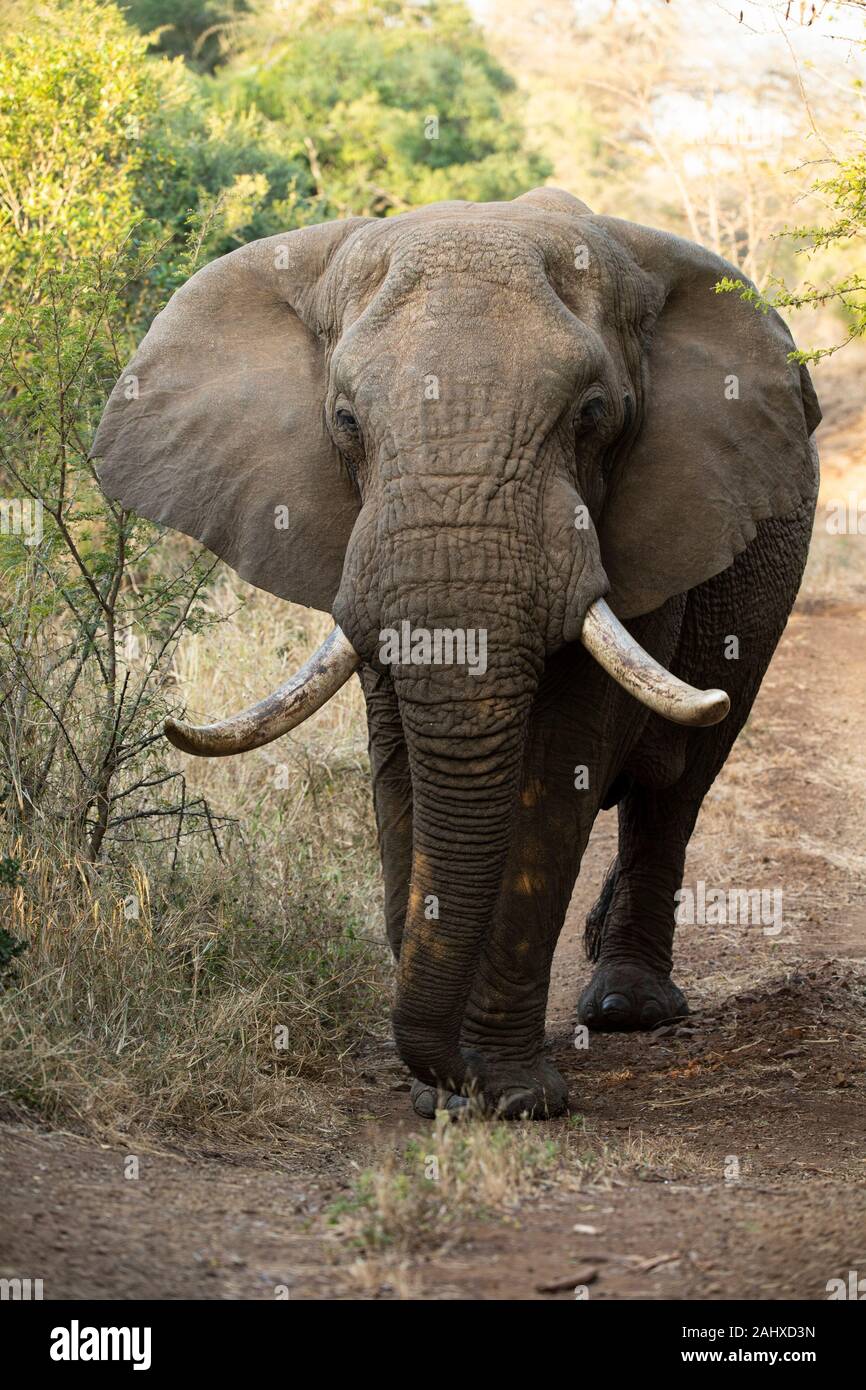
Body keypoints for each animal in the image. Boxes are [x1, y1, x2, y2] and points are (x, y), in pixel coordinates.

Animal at [92, 187, 821, 1120]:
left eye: (593, 415)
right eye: (345, 421)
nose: (450, 1082)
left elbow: (561, 767)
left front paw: (510, 1097)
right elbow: (403, 760)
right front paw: (442, 1099)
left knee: (678, 785)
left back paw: (625, 1007)